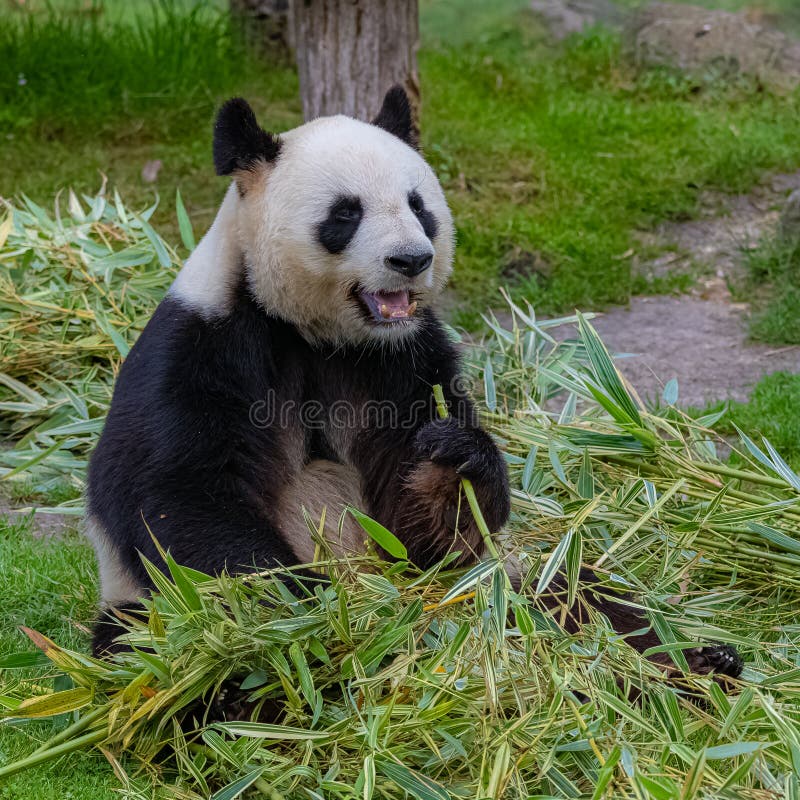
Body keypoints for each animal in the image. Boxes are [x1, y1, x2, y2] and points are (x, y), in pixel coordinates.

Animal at [86, 86, 742, 688]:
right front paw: (318, 614)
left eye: (419, 205)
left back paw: (696, 665)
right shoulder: (202, 348)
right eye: (345, 214)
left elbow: (422, 522)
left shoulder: (400, 359)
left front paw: (453, 461)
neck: (312, 329)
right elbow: (178, 502)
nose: (411, 259)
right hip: (144, 624)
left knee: (569, 591)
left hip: (498, 580)